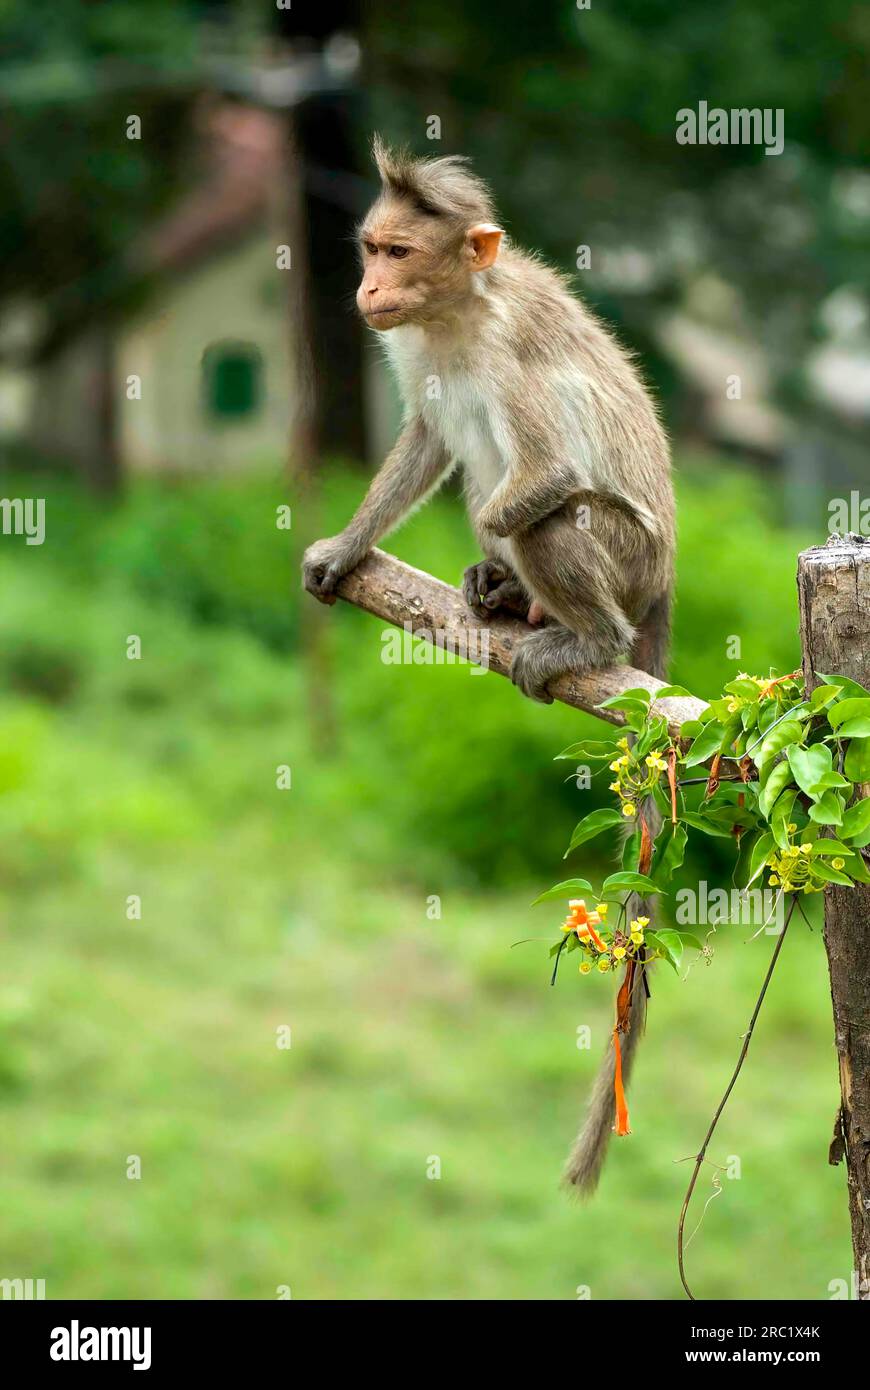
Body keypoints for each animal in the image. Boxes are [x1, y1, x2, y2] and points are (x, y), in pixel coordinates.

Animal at [302, 138, 675, 1193]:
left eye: (396, 250)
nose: (364, 286)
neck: (456, 312)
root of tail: (664, 587)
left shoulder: (510, 355)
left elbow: (546, 478)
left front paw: (505, 534)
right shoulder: (412, 347)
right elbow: (426, 440)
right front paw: (350, 548)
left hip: (631, 565)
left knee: (552, 506)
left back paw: (579, 631)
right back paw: (507, 596)